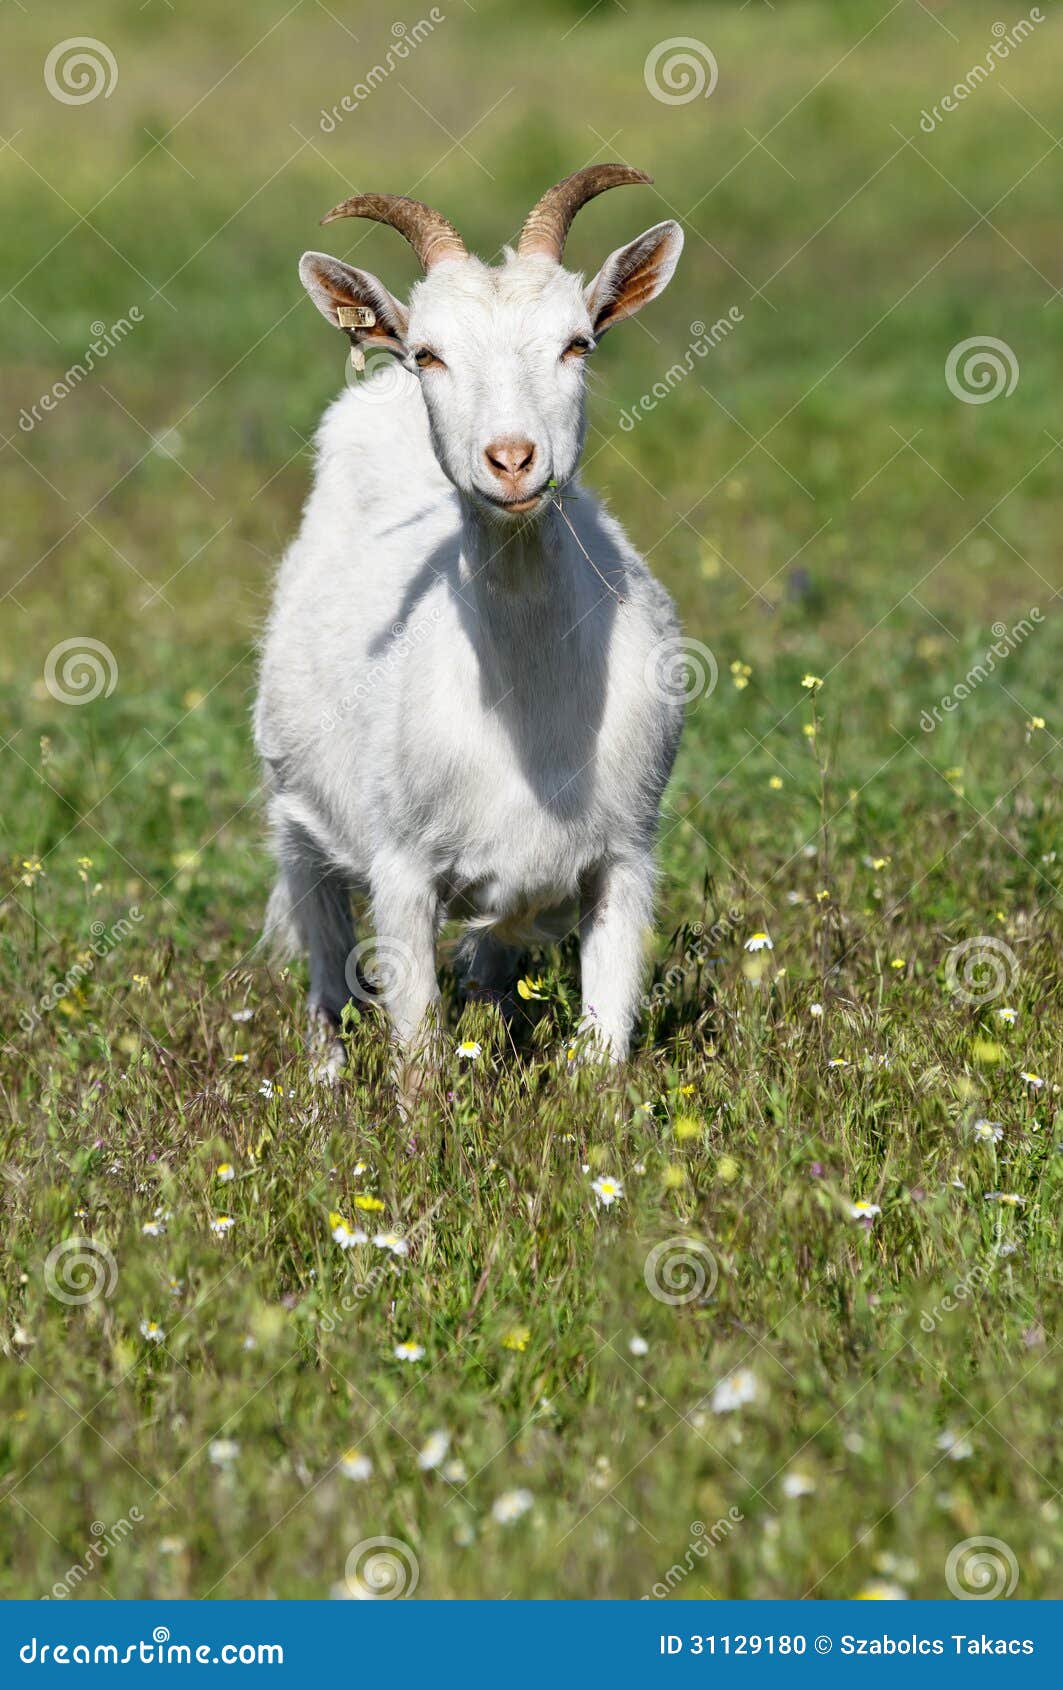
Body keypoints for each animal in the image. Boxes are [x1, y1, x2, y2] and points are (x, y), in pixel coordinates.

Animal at [255, 166, 686, 1080]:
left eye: (576, 343)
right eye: (430, 352)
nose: (512, 460)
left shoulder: (625, 856)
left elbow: (605, 1038)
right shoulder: (400, 868)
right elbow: (416, 1049)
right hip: (294, 817)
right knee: (325, 968)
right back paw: (321, 1083)